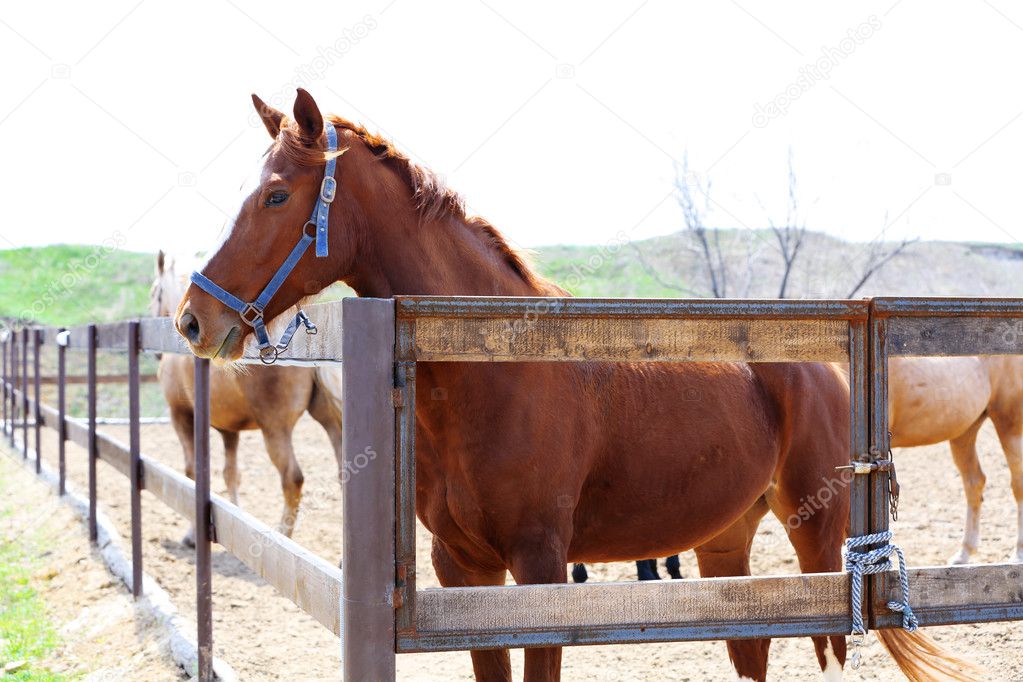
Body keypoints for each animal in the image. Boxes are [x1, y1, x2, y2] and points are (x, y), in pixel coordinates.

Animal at [151, 251, 344, 543]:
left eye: (154, 292)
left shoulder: (182, 417)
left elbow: (192, 472)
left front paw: (192, 533)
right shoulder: (230, 432)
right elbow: (231, 474)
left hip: (275, 430)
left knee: (292, 478)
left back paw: (282, 534)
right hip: (328, 419)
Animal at [171, 89, 978, 681]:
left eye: (277, 196)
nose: (193, 319)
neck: (494, 375)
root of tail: (823, 366)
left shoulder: (541, 570)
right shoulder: (463, 572)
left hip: (817, 542)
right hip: (727, 544)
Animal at [889, 356, 1023, 564]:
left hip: (1009, 425)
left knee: (1017, 484)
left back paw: (1017, 554)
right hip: (965, 432)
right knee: (974, 483)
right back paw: (964, 553)